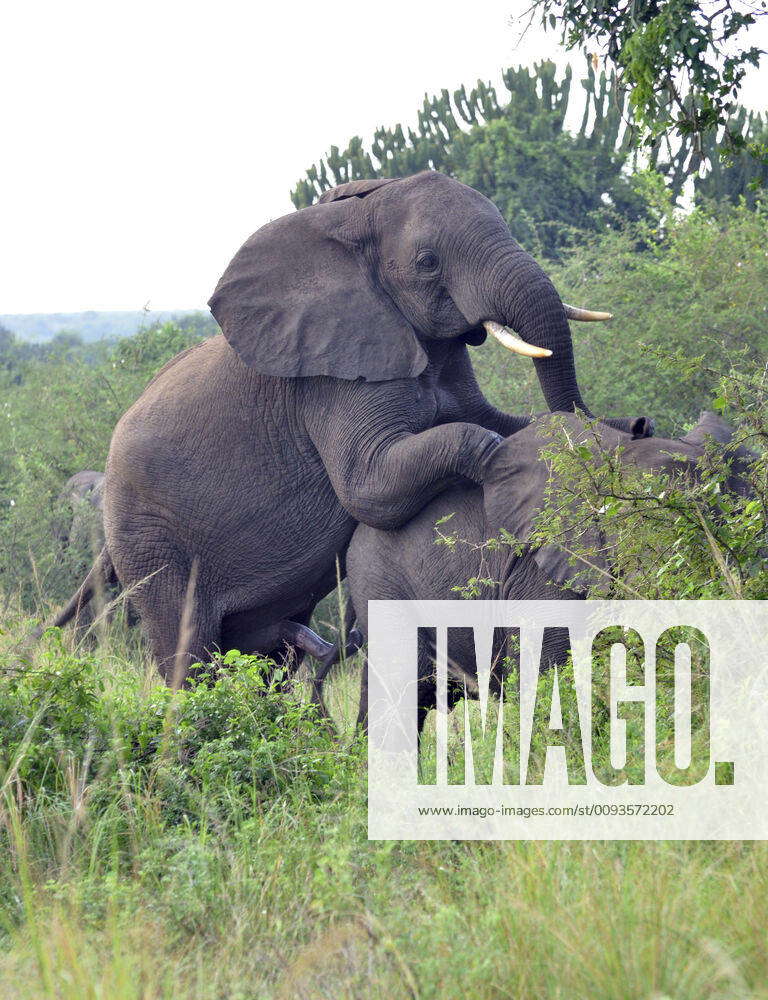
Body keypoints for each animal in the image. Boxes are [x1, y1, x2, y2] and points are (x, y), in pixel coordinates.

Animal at [48, 171, 651, 681]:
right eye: (427, 262)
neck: (356, 219)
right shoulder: (329, 375)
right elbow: (373, 488)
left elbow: (489, 418)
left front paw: (634, 426)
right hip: (150, 539)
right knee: (188, 650)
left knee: (265, 650)